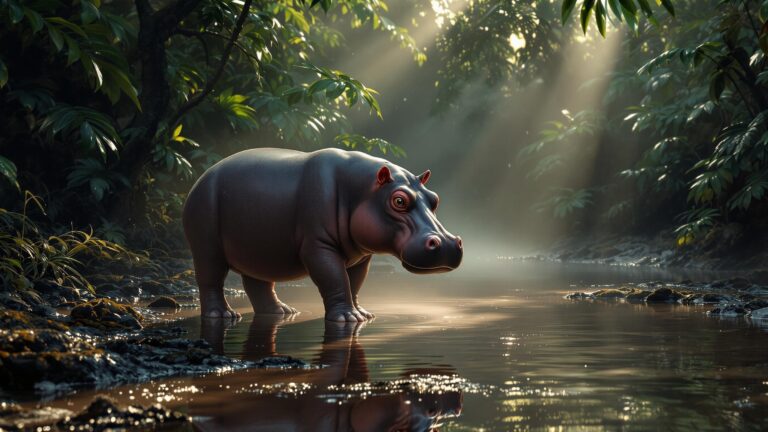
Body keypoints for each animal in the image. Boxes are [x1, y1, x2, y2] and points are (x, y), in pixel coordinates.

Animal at [182, 148, 462, 322]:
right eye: (399, 201)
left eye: (434, 199)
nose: (449, 243)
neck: (362, 190)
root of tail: (200, 179)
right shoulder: (319, 246)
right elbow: (335, 278)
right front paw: (348, 318)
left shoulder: (362, 256)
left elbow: (355, 282)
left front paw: (363, 314)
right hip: (207, 242)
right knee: (210, 279)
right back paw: (223, 315)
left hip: (258, 248)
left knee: (258, 282)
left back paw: (282, 312)